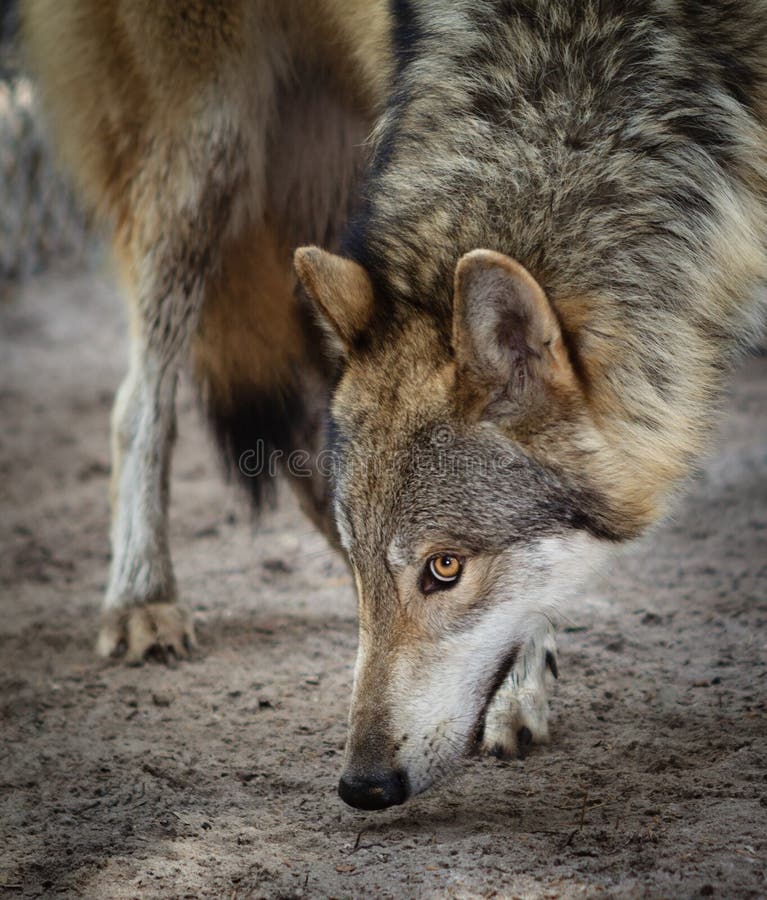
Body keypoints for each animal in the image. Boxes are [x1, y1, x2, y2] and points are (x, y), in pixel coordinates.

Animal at [23, 0, 767, 811]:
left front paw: (521, 684)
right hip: (208, 147)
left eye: (444, 569)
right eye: (369, 567)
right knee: (140, 398)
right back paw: (140, 596)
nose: (362, 785)